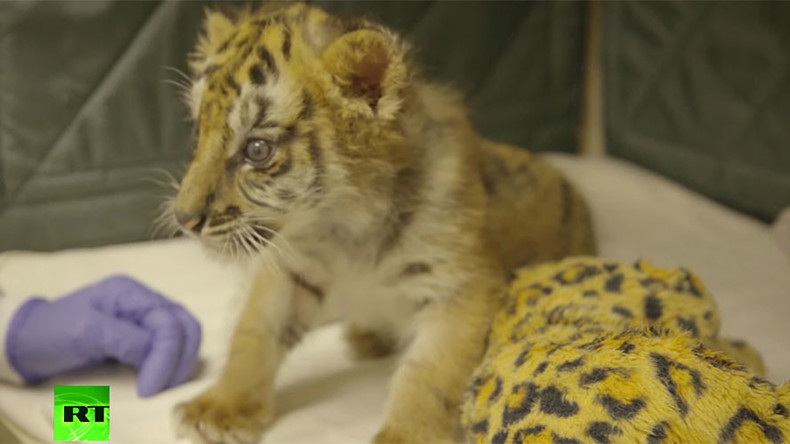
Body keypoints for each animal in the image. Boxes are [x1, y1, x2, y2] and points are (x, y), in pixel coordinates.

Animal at [169, 3, 595, 443]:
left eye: (257, 149)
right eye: (198, 133)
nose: (184, 219)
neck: (343, 223)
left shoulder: (458, 286)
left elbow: (429, 374)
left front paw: (405, 436)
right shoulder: (294, 269)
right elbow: (255, 333)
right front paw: (218, 409)